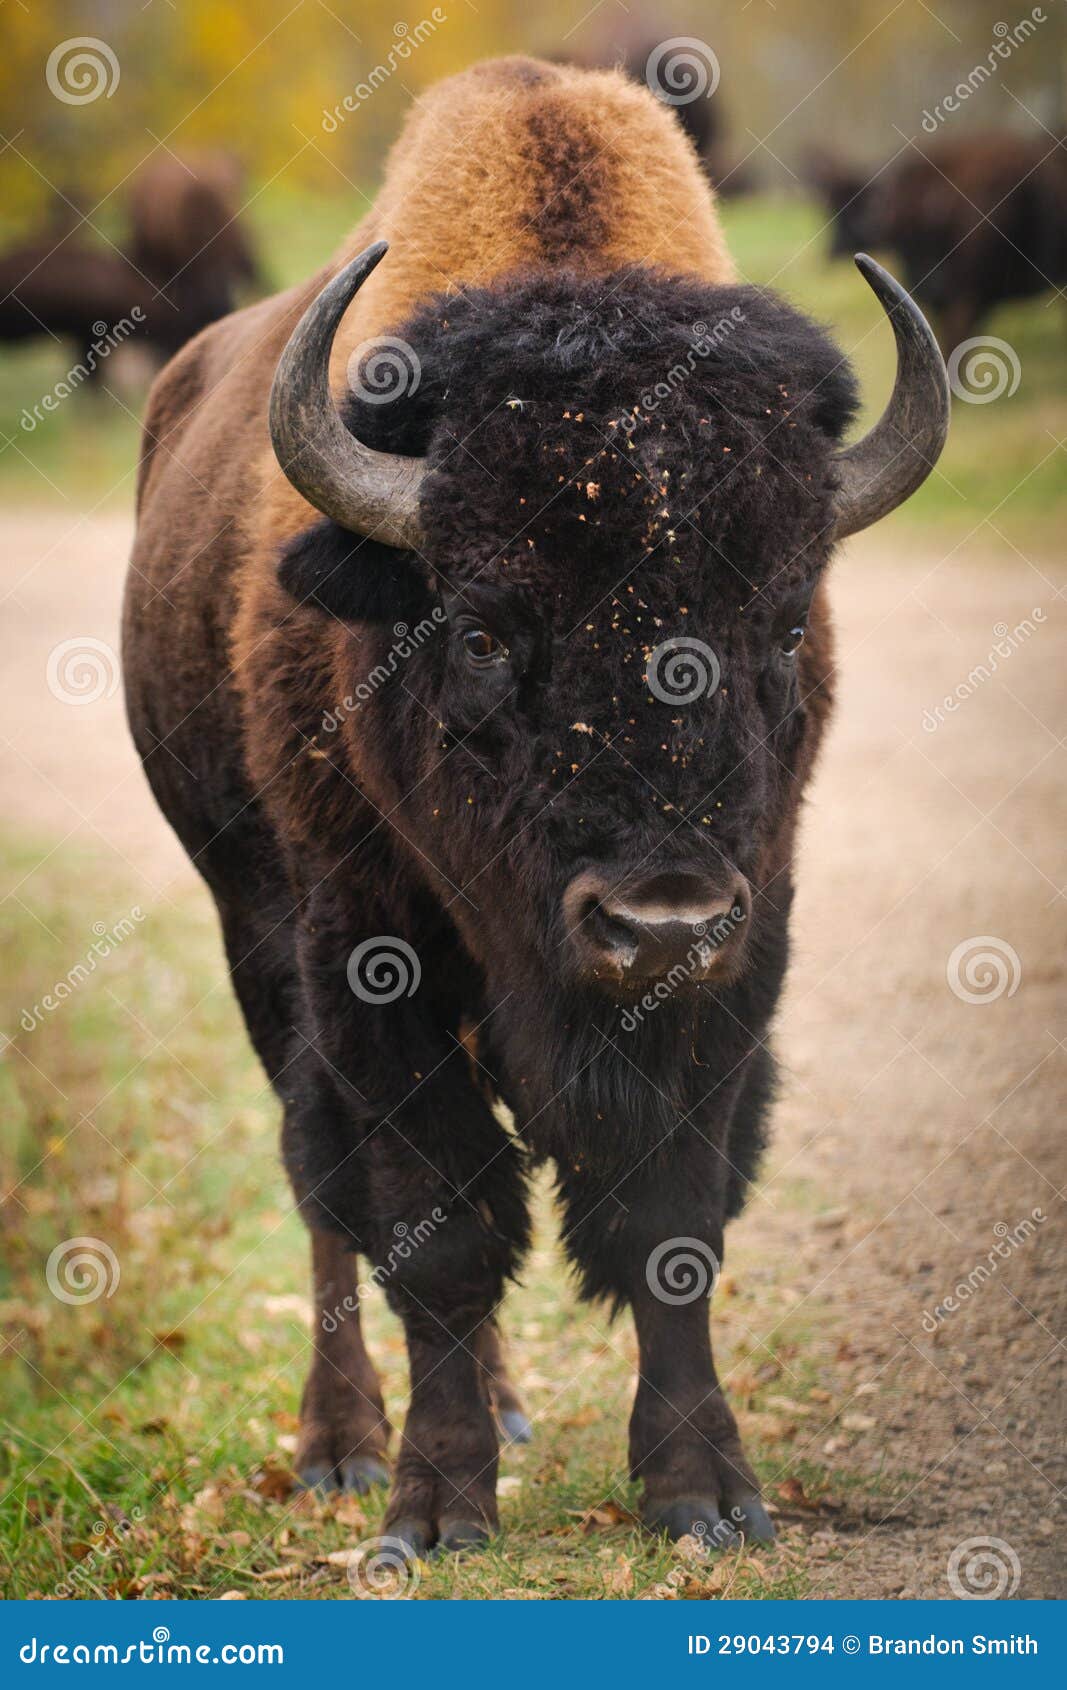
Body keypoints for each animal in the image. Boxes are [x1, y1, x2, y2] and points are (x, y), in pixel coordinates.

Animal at [124, 57, 947, 1558]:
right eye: (482, 630)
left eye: (780, 623)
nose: (655, 917)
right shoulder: (361, 957)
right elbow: (436, 1227)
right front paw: (433, 1510)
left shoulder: (744, 955)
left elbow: (671, 1224)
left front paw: (702, 1493)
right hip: (251, 937)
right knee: (323, 1191)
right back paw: (339, 1447)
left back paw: (501, 1412)